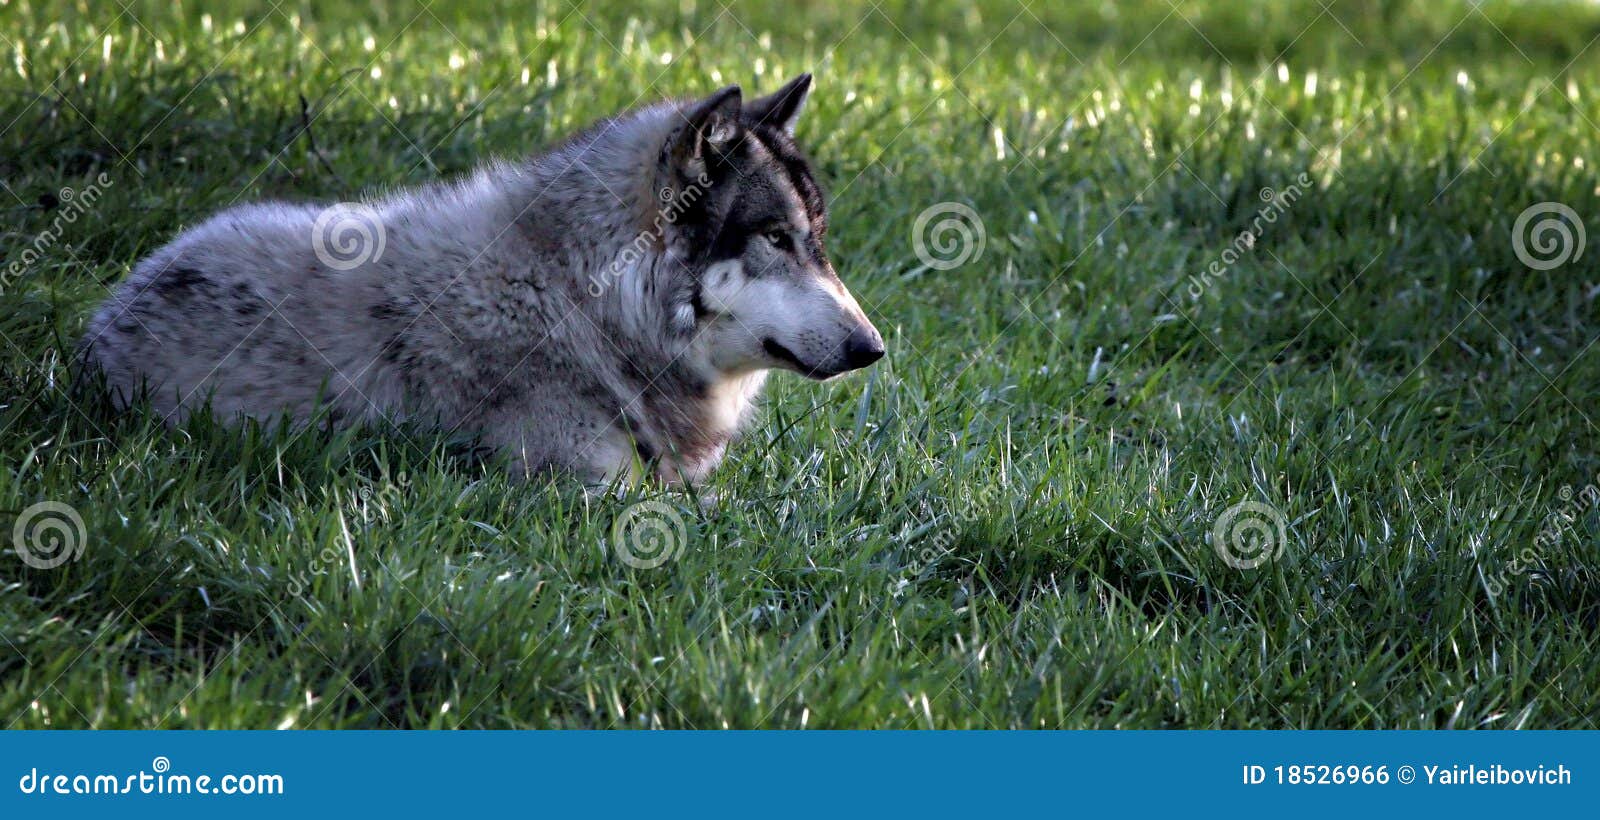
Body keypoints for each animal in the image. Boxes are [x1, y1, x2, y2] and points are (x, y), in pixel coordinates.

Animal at [78, 73, 884, 483]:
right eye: (777, 238)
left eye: (818, 241)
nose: (874, 348)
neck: (581, 302)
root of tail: (97, 331)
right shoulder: (589, 487)